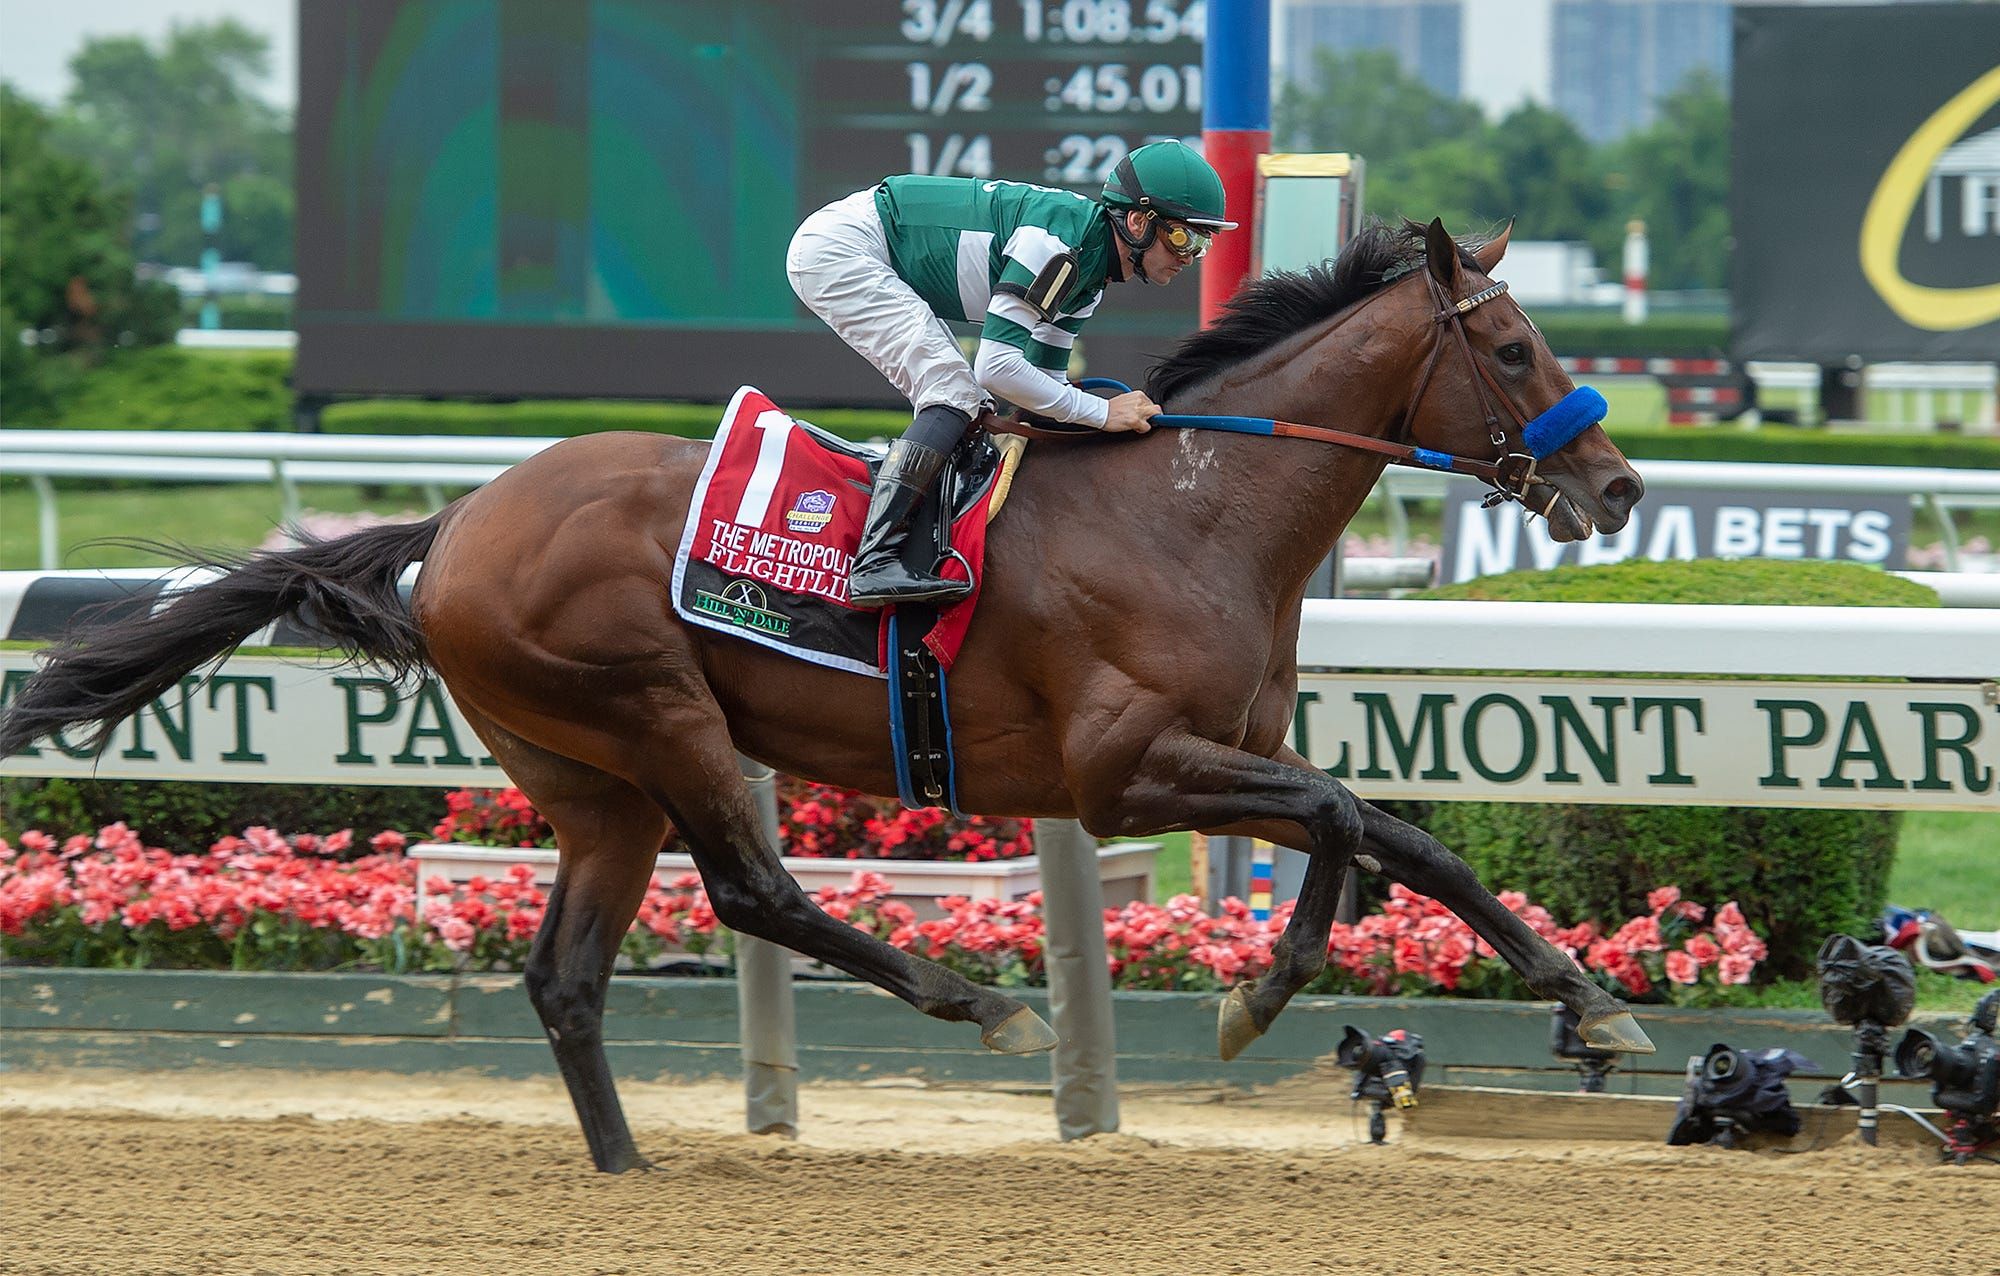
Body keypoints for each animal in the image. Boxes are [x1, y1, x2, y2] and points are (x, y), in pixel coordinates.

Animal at [2, 219, 1650, 1172]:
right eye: (1514, 347)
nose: (1618, 483)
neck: (1194, 509)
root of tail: (457, 521)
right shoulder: (1124, 769)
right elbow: (1353, 815)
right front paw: (1275, 997)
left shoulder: (1218, 751)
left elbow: (1390, 836)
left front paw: (1577, 1006)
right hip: (654, 710)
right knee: (753, 890)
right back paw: (979, 1003)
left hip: (586, 778)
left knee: (567, 973)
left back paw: (626, 1164)